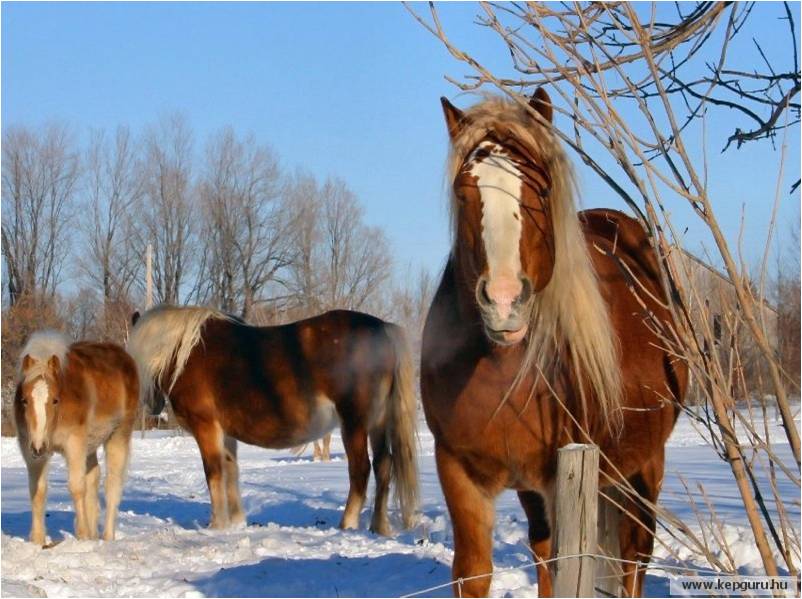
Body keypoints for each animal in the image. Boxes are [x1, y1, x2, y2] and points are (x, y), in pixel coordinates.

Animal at [14, 331, 139, 545]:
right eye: (24, 400)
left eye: (55, 400)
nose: (39, 447)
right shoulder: (30, 450)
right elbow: (38, 491)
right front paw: (37, 540)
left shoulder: (74, 444)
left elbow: (76, 487)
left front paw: (82, 535)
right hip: (90, 445)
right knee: (94, 479)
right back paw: (94, 534)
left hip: (118, 435)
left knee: (112, 485)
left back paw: (107, 537)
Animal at [126, 305, 418, 535]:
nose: (153, 406)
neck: (187, 354)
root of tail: (382, 330)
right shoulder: (226, 433)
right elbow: (231, 472)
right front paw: (237, 522)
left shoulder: (206, 428)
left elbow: (214, 473)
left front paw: (217, 525)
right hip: (378, 423)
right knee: (383, 465)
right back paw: (378, 526)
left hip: (354, 424)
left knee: (361, 470)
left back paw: (347, 524)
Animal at [421, 89, 688, 597]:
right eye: (464, 194)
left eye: (541, 191)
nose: (504, 301)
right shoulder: (459, 474)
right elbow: (476, 572)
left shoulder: (562, 477)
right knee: (547, 552)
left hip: (645, 468)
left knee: (634, 560)